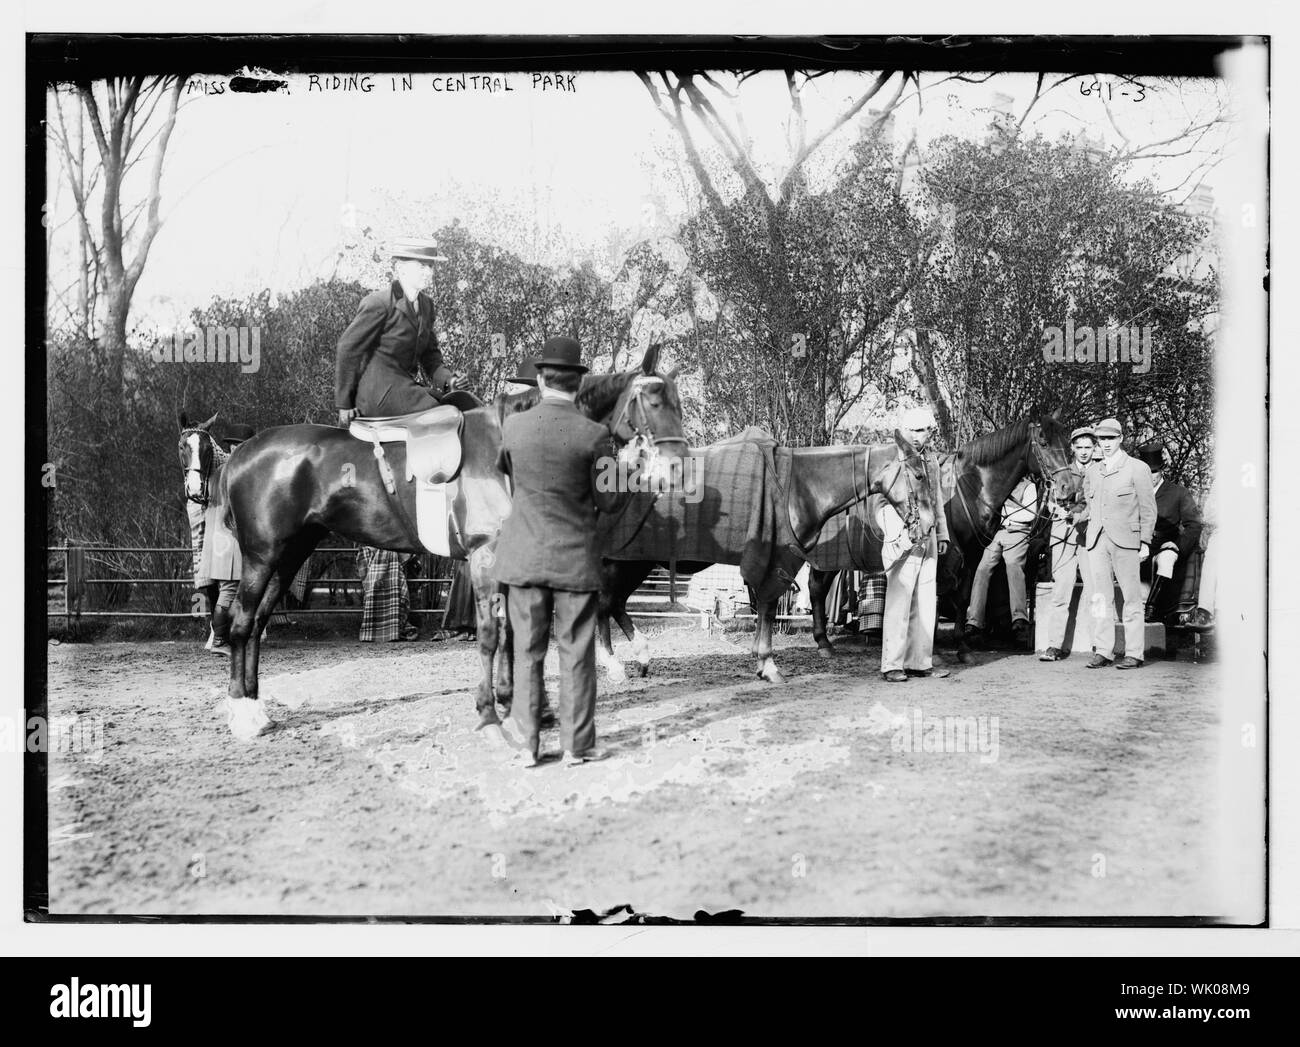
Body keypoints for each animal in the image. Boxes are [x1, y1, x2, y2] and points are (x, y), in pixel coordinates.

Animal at [220, 345, 691, 738]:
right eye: (653, 401)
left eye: (679, 403)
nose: (679, 468)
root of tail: (244, 451)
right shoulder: (485, 558)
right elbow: (491, 633)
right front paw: (489, 707)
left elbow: (516, 634)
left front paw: (521, 705)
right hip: (262, 556)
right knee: (242, 622)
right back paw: (243, 714)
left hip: (292, 554)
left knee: (259, 623)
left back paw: (257, 707)